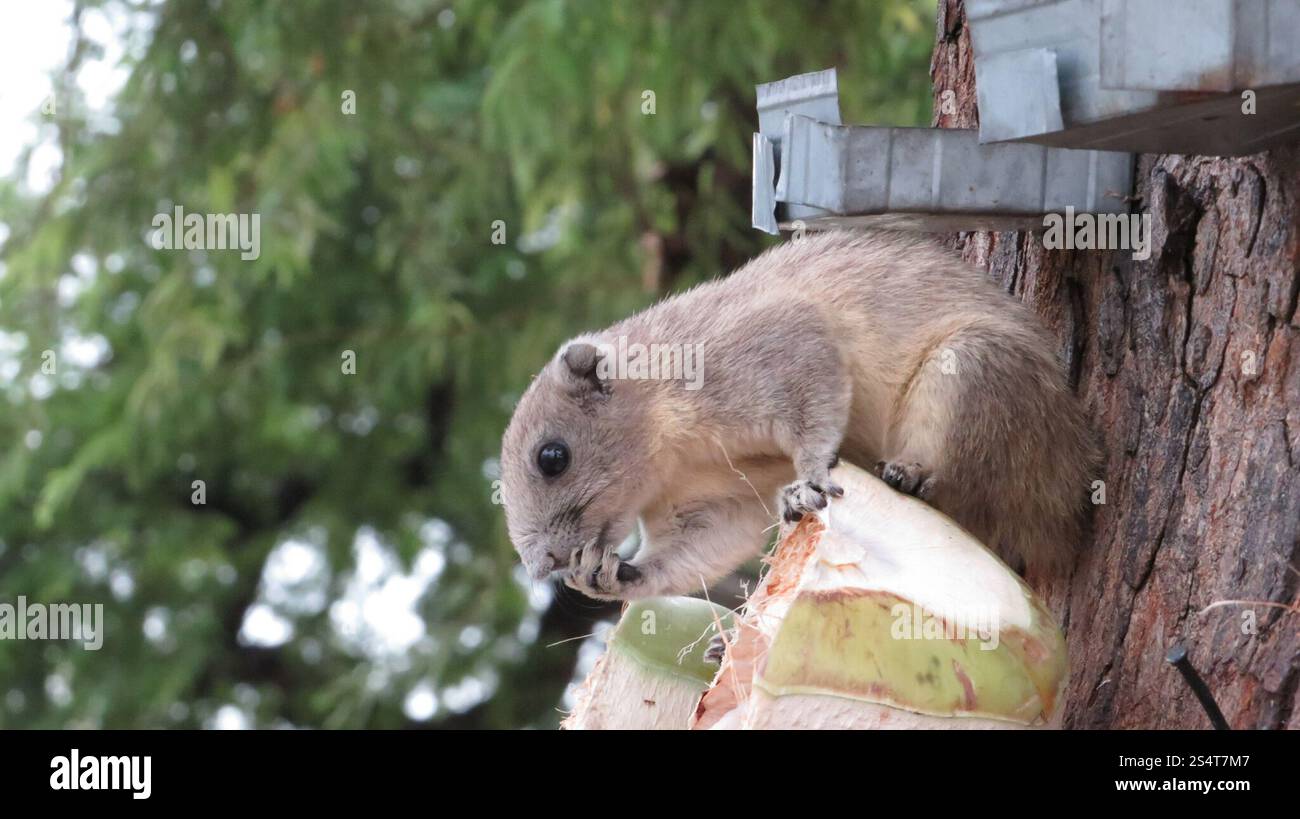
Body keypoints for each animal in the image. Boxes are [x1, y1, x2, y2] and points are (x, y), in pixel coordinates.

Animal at [500, 230, 1099, 601]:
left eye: (552, 456)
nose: (543, 567)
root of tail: (1066, 512)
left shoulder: (776, 351)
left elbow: (813, 417)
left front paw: (807, 481)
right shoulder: (707, 500)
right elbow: (698, 547)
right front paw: (610, 575)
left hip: (975, 372)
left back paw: (911, 474)